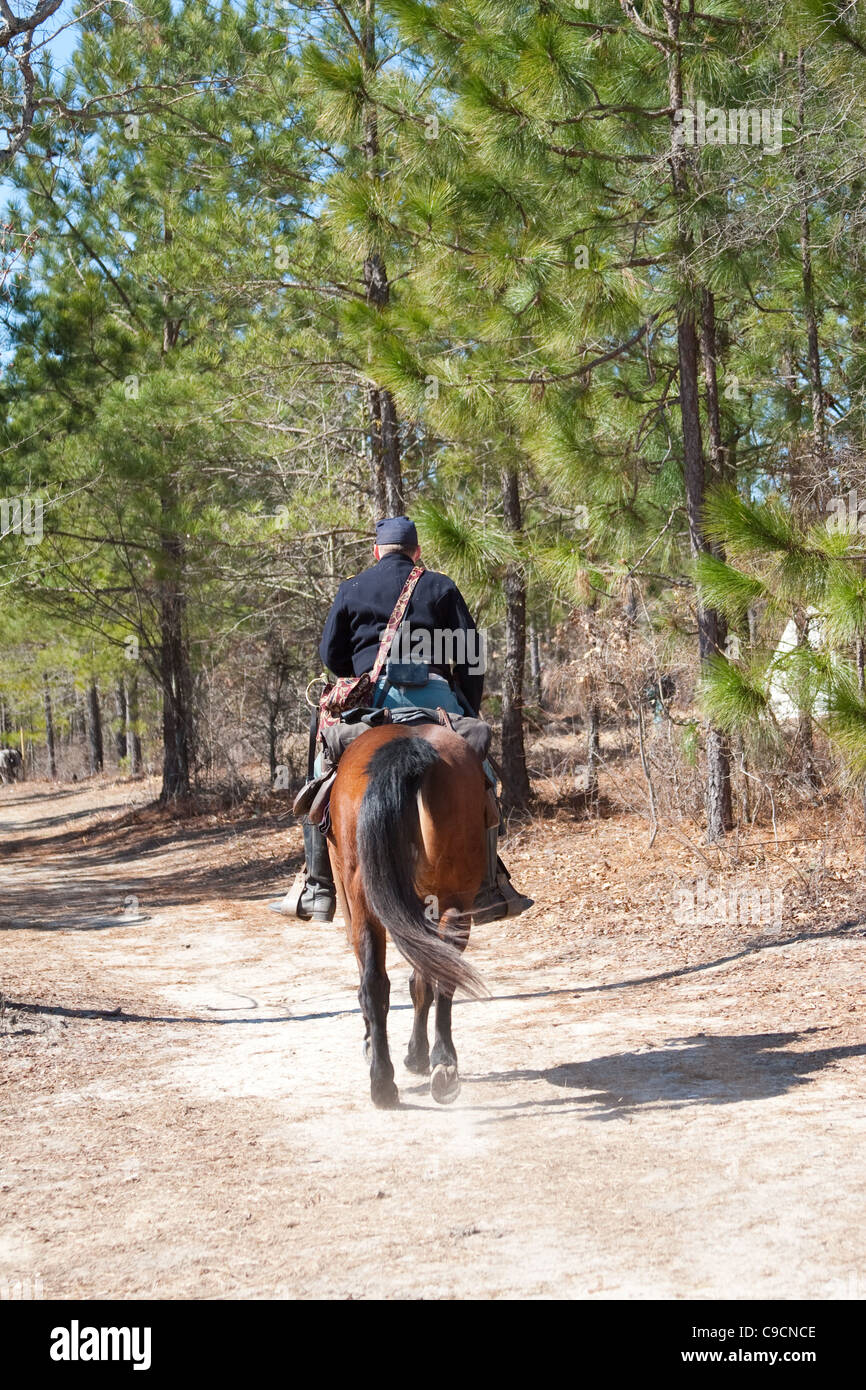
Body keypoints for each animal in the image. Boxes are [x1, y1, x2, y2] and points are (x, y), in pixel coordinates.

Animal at [327, 721, 489, 1109]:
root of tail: (410, 749)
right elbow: (422, 981)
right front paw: (418, 1054)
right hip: (452, 899)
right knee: (439, 973)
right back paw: (441, 1068)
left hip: (367, 900)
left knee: (375, 982)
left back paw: (386, 1079)